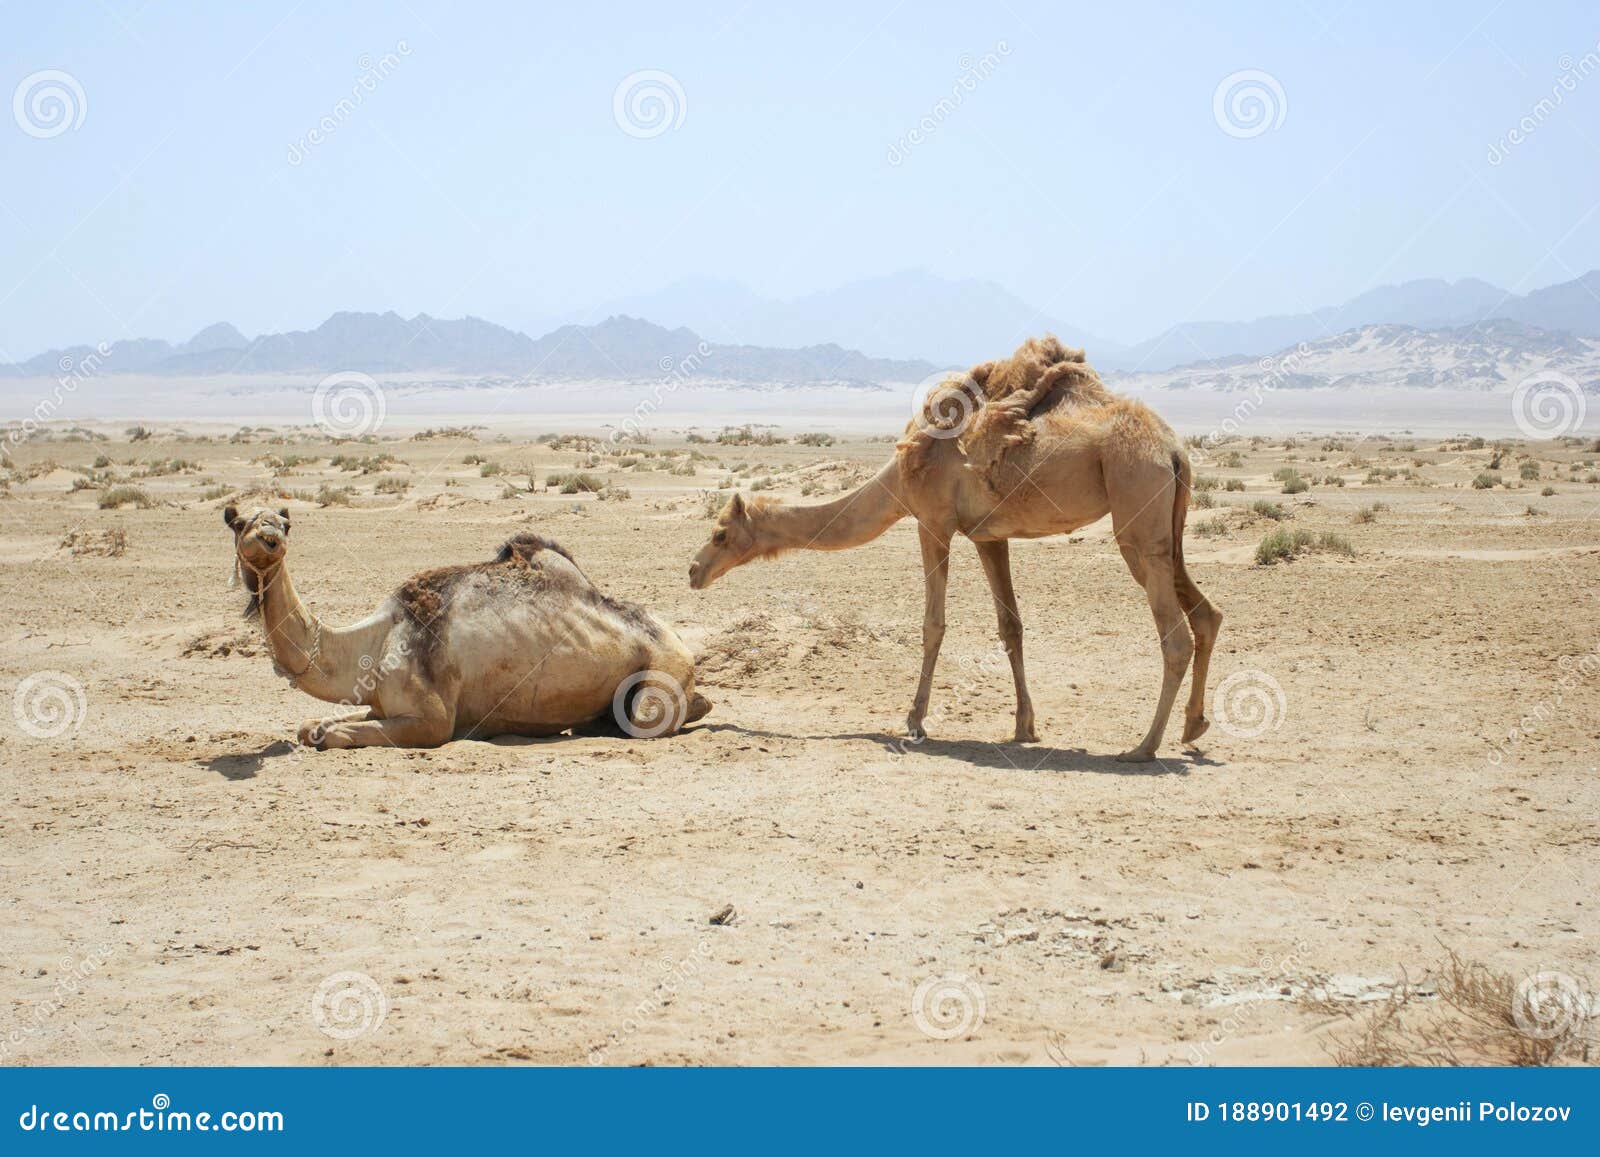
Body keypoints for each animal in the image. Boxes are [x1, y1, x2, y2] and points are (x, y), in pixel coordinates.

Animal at [224, 505, 711, 748]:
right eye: (239, 521)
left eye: (284, 522)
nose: (270, 538)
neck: (375, 640)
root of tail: (683, 645)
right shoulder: (382, 702)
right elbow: (312, 724)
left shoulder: (430, 719)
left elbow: (337, 733)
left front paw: (328, 734)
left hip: (662, 670)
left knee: (651, 716)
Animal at [687, 336, 1221, 762]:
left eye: (720, 533)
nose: (693, 570)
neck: (897, 477)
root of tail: (1174, 449)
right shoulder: (989, 536)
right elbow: (1011, 626)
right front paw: (1024, 727)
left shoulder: (932, 523)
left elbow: (933, 625)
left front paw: (914, 720)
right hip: (1166, 530)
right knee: (1208, 614)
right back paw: (1193, 727)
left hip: (1136, 511)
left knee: (1175, 635)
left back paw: (1144, 746)